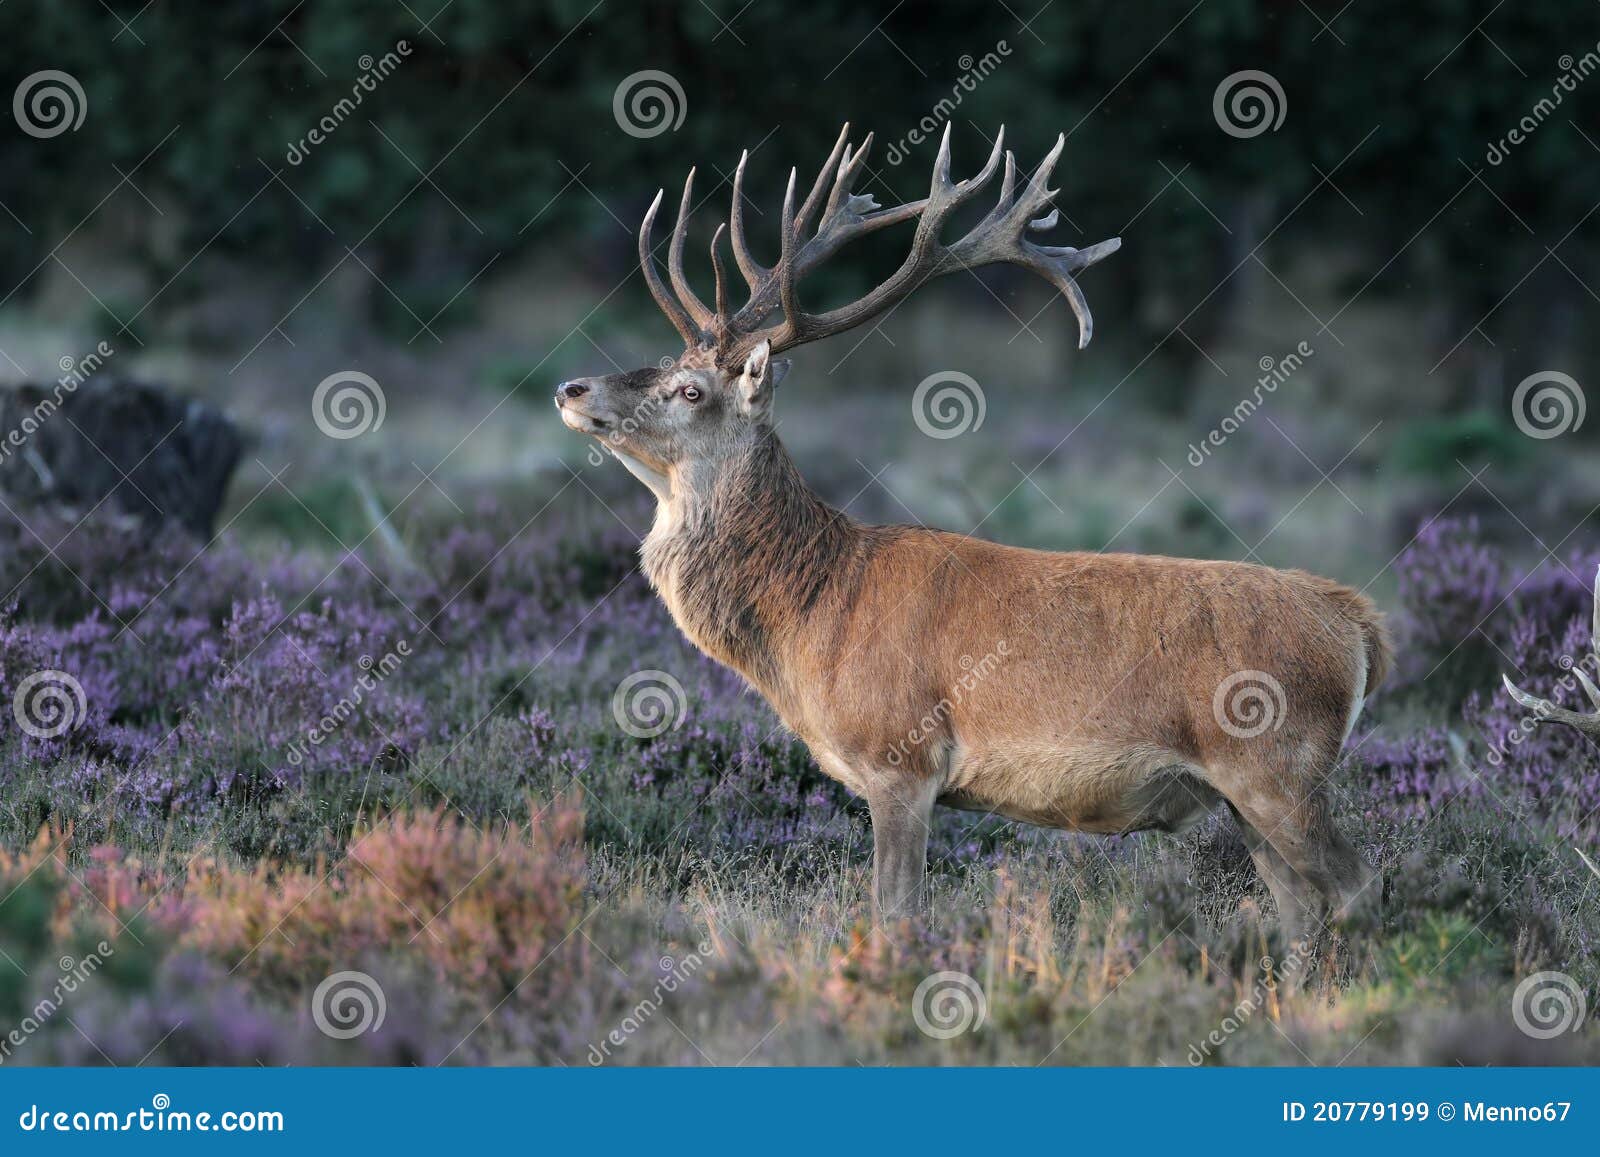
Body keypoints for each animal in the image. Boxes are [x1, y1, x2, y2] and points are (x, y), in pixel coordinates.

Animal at [554, 124, 1392, 960]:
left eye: (690, 390)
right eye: (669, 364)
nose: (571, 387)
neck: (813, 614)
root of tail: (1357, 623)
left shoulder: (899, 757)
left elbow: (896, 912)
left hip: (1276, 765)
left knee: (1359, 884)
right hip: (1244, 796)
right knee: (1300, 911)